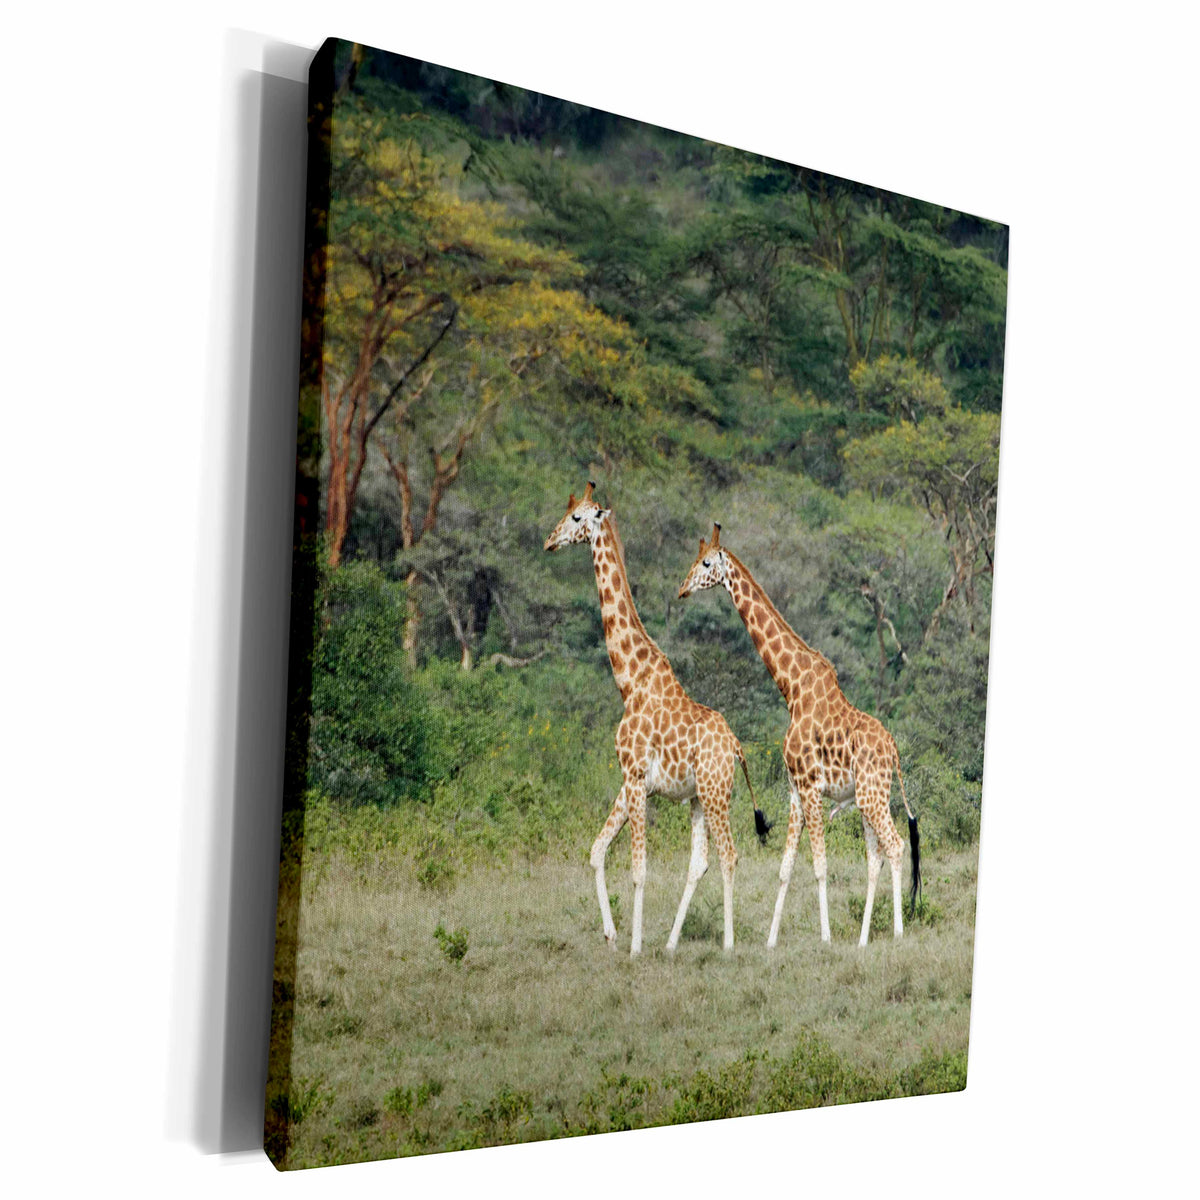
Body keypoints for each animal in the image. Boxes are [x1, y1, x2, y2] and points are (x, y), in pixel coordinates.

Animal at [544, 484, 770, 956]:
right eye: (566, 511)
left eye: (577, 518)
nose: (549, 542)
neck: (630, 680)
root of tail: (737, 747)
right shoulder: (633, 781)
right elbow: (596, 850)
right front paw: (612, 934)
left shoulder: (634, 778)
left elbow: (638, 868)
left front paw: (633, 946)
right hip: (699, 799)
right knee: (700, 861)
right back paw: (670, 943)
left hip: (715, 794)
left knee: (729, 855)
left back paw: (727, 944)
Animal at [678, 524, 920, 948]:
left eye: (706, 563)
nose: (682, 589)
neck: (792, 687)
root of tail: (893, 750)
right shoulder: (794, 789)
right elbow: (786, 867)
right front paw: (771, 941)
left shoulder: (809, 785)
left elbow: (819, 864)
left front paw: (824, 938)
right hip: (871, 796)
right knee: (875, 856)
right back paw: (863, 939)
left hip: (872, 795)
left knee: (895, 845)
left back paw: (897, 933)